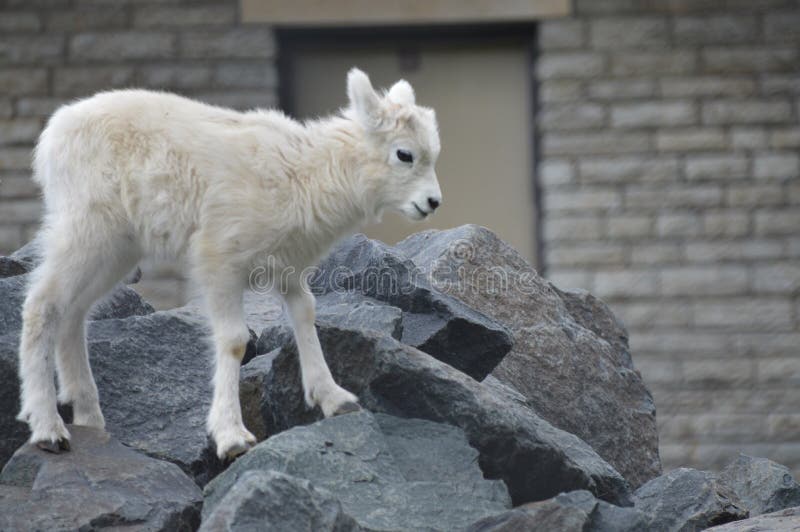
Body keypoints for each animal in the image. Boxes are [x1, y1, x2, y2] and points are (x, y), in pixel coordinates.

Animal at [17, 68, 442, 459]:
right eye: (405, 154)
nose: (432, 203)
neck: (304, 176)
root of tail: (53, 136)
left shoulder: (289, 271)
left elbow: (305, 317)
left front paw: (335, 399)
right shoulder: (219, 265)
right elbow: (235, 341)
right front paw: (231, 437)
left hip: (116, 250)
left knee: (73, 313)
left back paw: (89, 419)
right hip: (87, 232)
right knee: (42, 305)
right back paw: (49, 430)